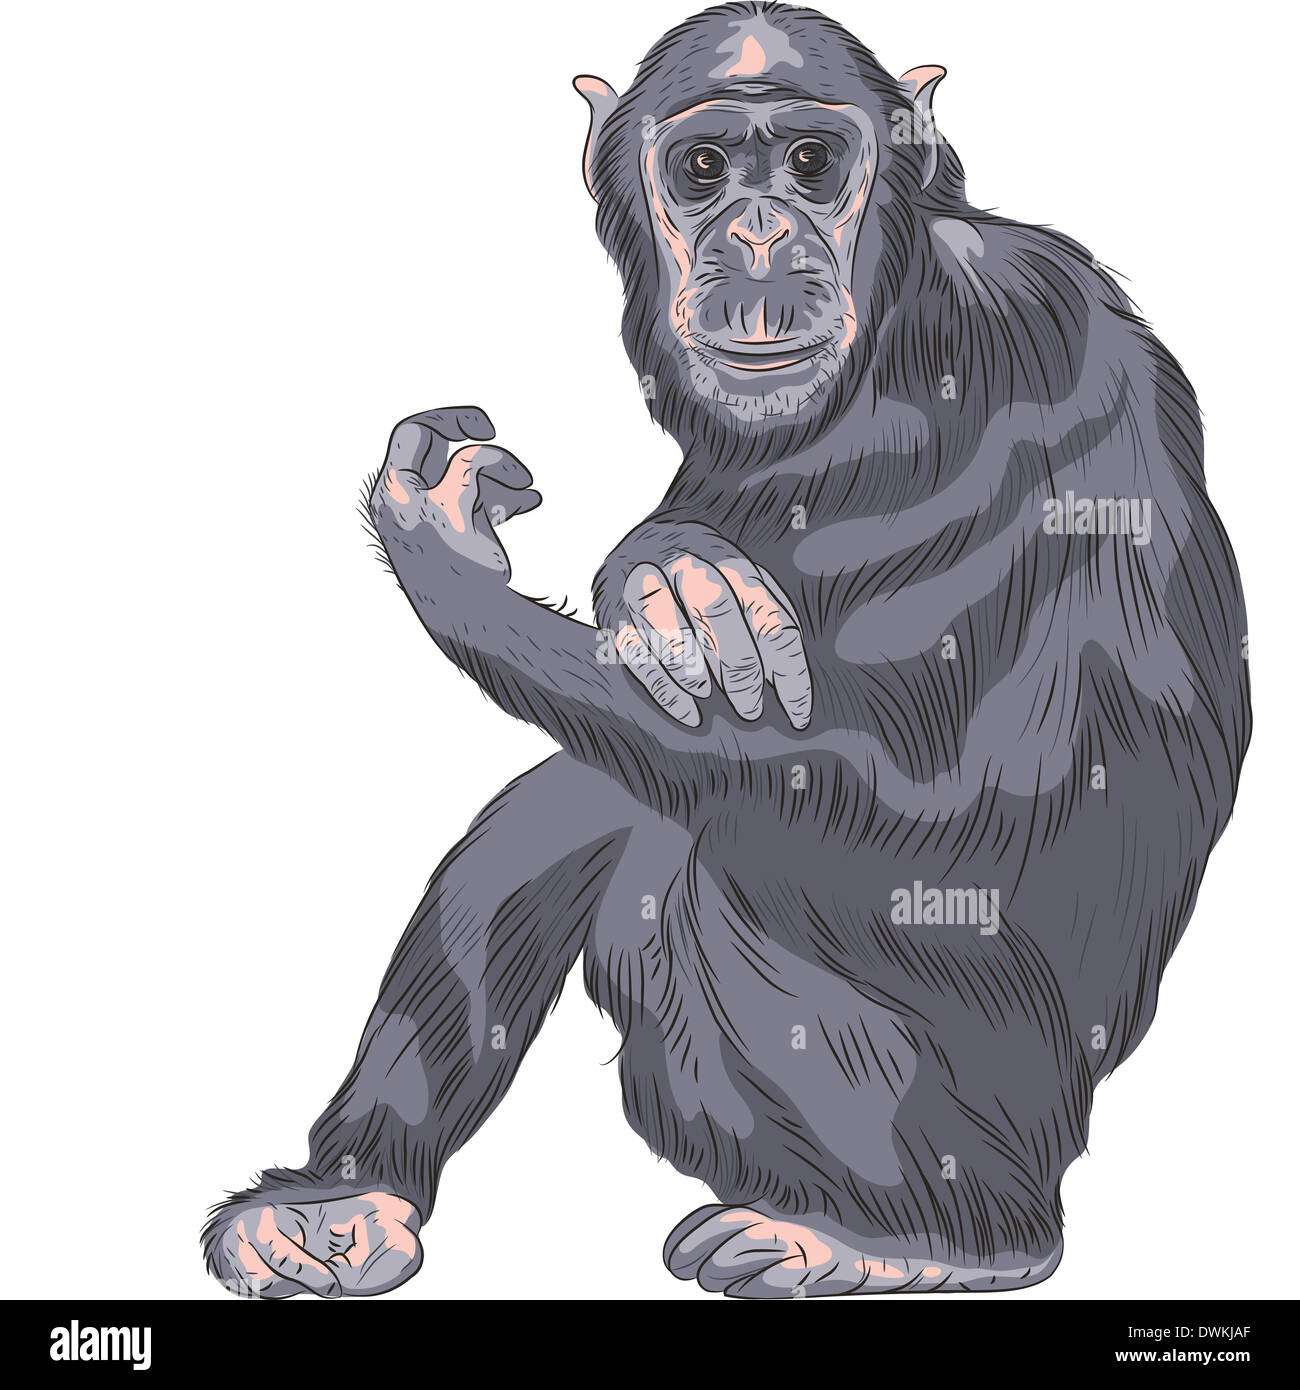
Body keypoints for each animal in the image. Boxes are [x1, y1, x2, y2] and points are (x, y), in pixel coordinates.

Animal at [204, 1, 1250, 1298]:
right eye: (702, 168)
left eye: (809, 161)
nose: (756, 229)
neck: (893, 349)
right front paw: (661, 571)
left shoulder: (1050, 326)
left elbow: (958, 809)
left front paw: (450, 545)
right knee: (597, 797)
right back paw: (346, 1197)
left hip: (973, 1139)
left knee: (690, 861)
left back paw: (904, 1243)